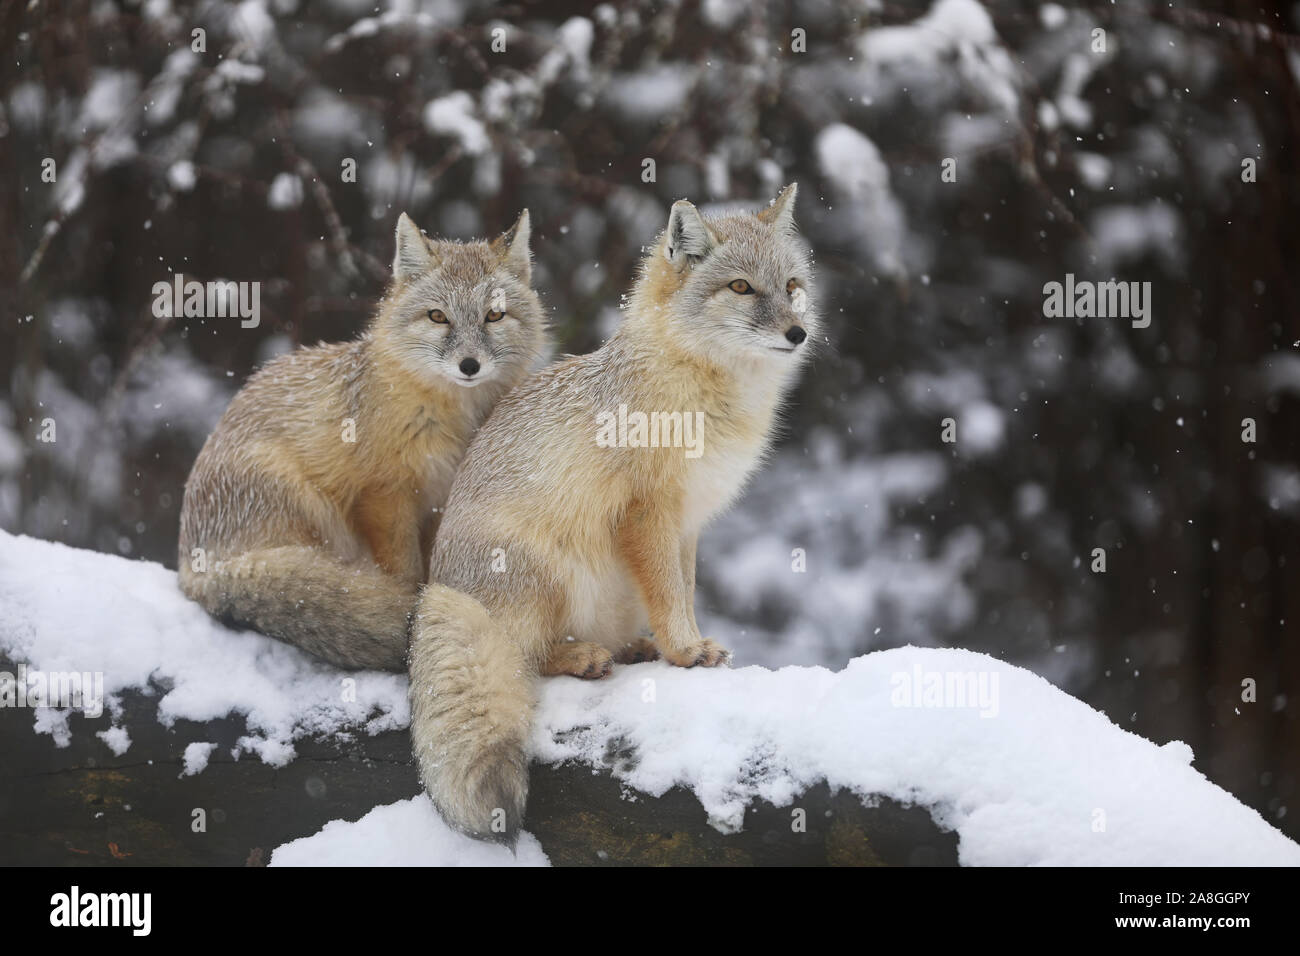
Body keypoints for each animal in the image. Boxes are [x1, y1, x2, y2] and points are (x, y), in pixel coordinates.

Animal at [177, 210, 548, 671]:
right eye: (438, 317)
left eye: (494, 316)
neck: (452, 422)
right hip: (310, 508)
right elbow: (406, 573)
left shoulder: (442, 501)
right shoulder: (384, 494)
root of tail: (193, 566)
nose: (469, 365)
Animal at [408, 184, 816, 843]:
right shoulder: (647, 513)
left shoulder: (689, 522)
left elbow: (683, 591)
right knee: (527, 658)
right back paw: (585, 657)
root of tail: (441, 587)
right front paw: (686, 652)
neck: (704, 399)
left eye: (792, 285)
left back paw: (628, 648)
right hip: (548, 574)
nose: (799, 333)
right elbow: (669, 594)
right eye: (742, 288)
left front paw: (683, 645)